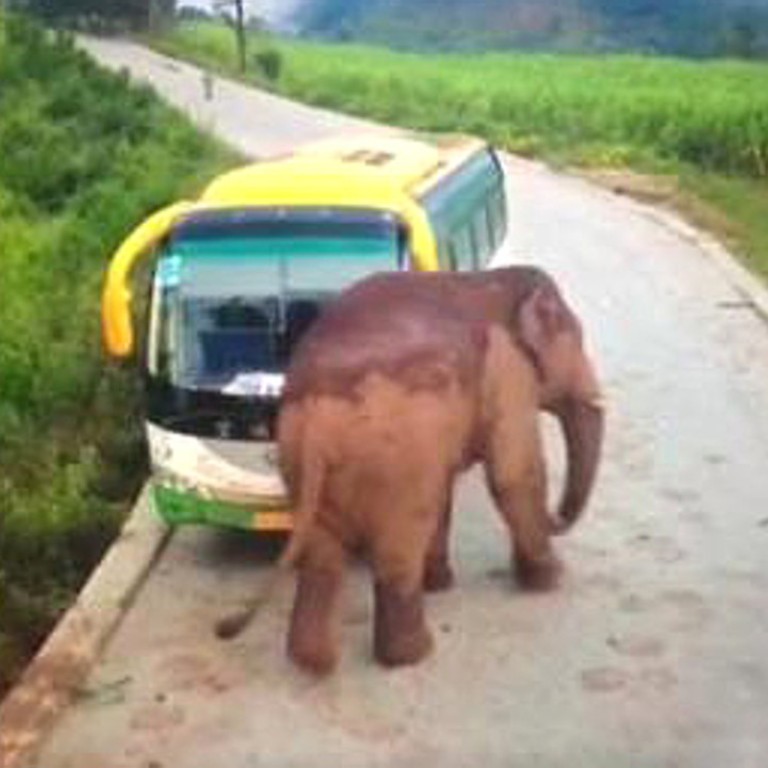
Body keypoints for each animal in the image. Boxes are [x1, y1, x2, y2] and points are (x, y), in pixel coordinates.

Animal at [217, 266, 604, 675]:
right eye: (579, 342)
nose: (557, 517)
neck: (492, 280)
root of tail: (315, 414)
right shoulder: (507, 370)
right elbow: (514, 473)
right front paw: (551, 580)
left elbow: (452, 485)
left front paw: (441, 583)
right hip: (396, 460)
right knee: (400, 542)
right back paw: (414, 654)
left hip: (307, 458)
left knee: (324, 554)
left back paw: (314, 662)